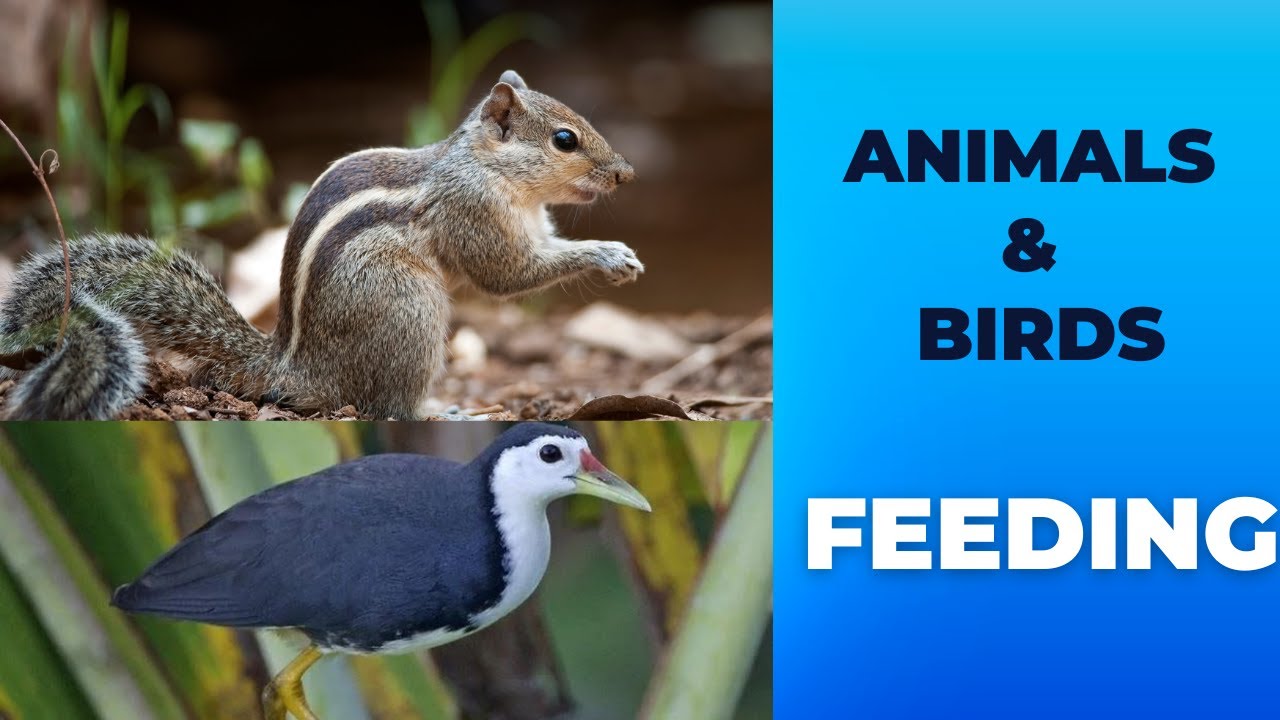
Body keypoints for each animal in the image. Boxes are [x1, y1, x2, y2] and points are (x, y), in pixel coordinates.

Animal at [0, 70, 642, 419]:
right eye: (565, 139)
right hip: (410, 311)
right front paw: (609, 254)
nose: (626, 174)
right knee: (389, 405)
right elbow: (507, 275)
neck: (487, 167)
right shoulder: (475, 213)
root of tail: (294, 368)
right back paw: (447, 409)